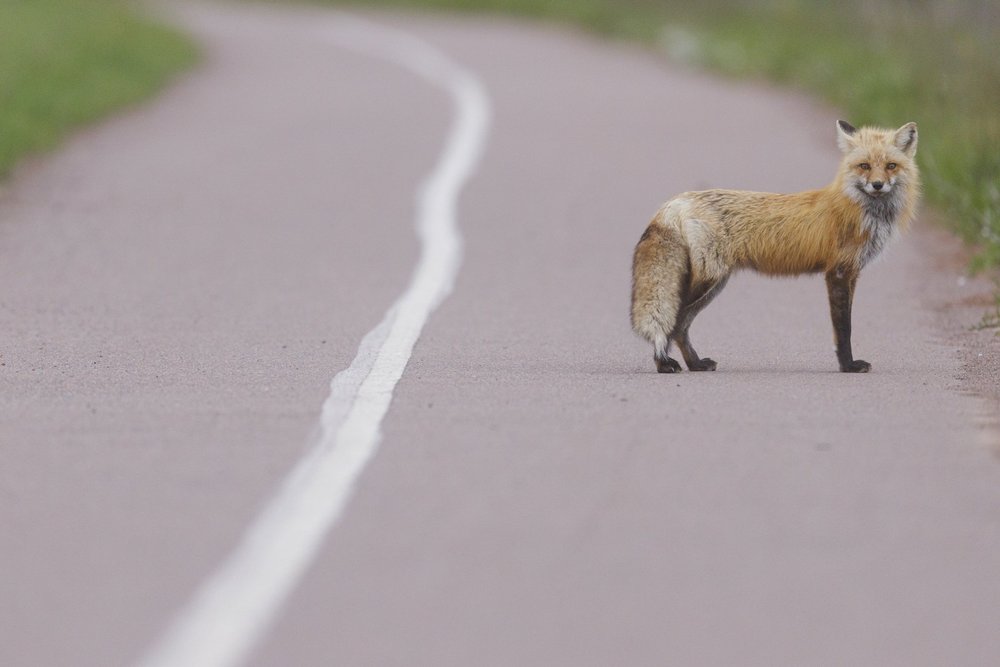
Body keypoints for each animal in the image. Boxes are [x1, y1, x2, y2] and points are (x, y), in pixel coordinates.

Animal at [631, 120, 920, 373]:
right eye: (864, 166)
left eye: (891, 166)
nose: (877, 185)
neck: (860, 210)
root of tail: (676, 201)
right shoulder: (837, 272)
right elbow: (843, 329)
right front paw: (848, 366)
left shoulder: (852, 273)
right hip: (707, 280)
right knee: (671, 321)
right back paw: (664, 365)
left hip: (715, 283)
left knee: (681, 326)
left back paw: (695, 364)